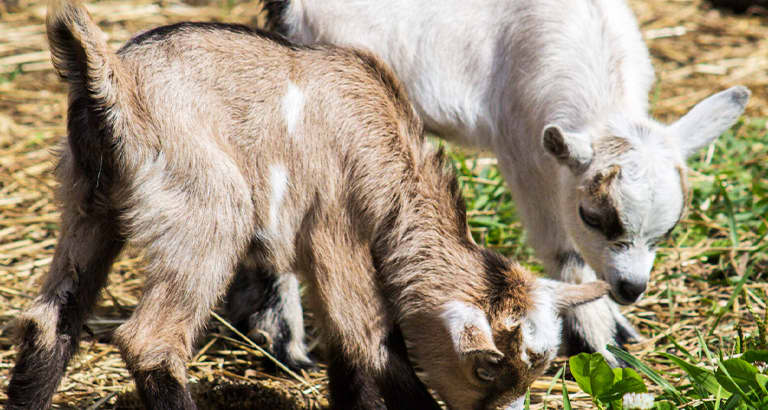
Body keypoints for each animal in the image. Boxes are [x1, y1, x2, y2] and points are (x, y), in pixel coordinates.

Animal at [6, 1, 610, 409]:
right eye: (486, 368)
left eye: (535, 370)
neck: (386, 151)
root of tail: (115, 84)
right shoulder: (334, 228)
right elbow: (371, 342)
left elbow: (346, 352)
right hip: (205, 212)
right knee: (149, 341)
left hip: (88, 207)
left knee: (48, 322)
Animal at [260, 0, 750, 365]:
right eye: (591, 216)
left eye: (670, 229)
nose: (632, 288)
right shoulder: (525, 151)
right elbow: (564, 251)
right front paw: (600, 340)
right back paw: (288, 341)